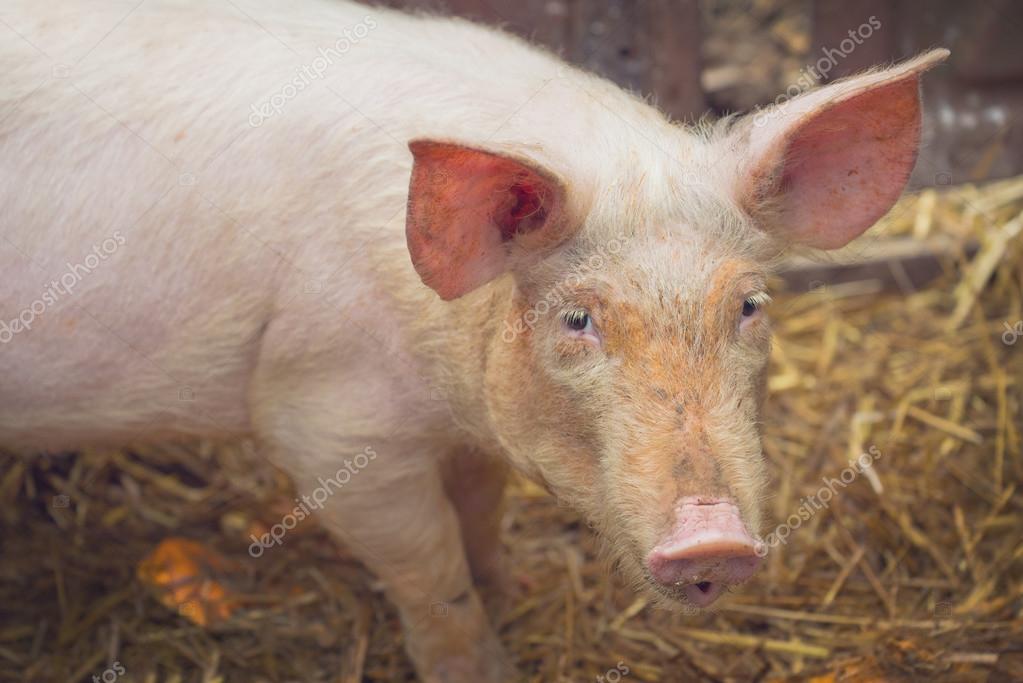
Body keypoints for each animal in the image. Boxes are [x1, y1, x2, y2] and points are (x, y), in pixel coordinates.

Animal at [0, 0, 946, 679]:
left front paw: (513, 584)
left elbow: (481, 505)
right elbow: (430, 562)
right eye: (576, 319)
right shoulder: (324, 424)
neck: (443, 373)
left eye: (749, 305)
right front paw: (484, 663)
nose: (711, 537)